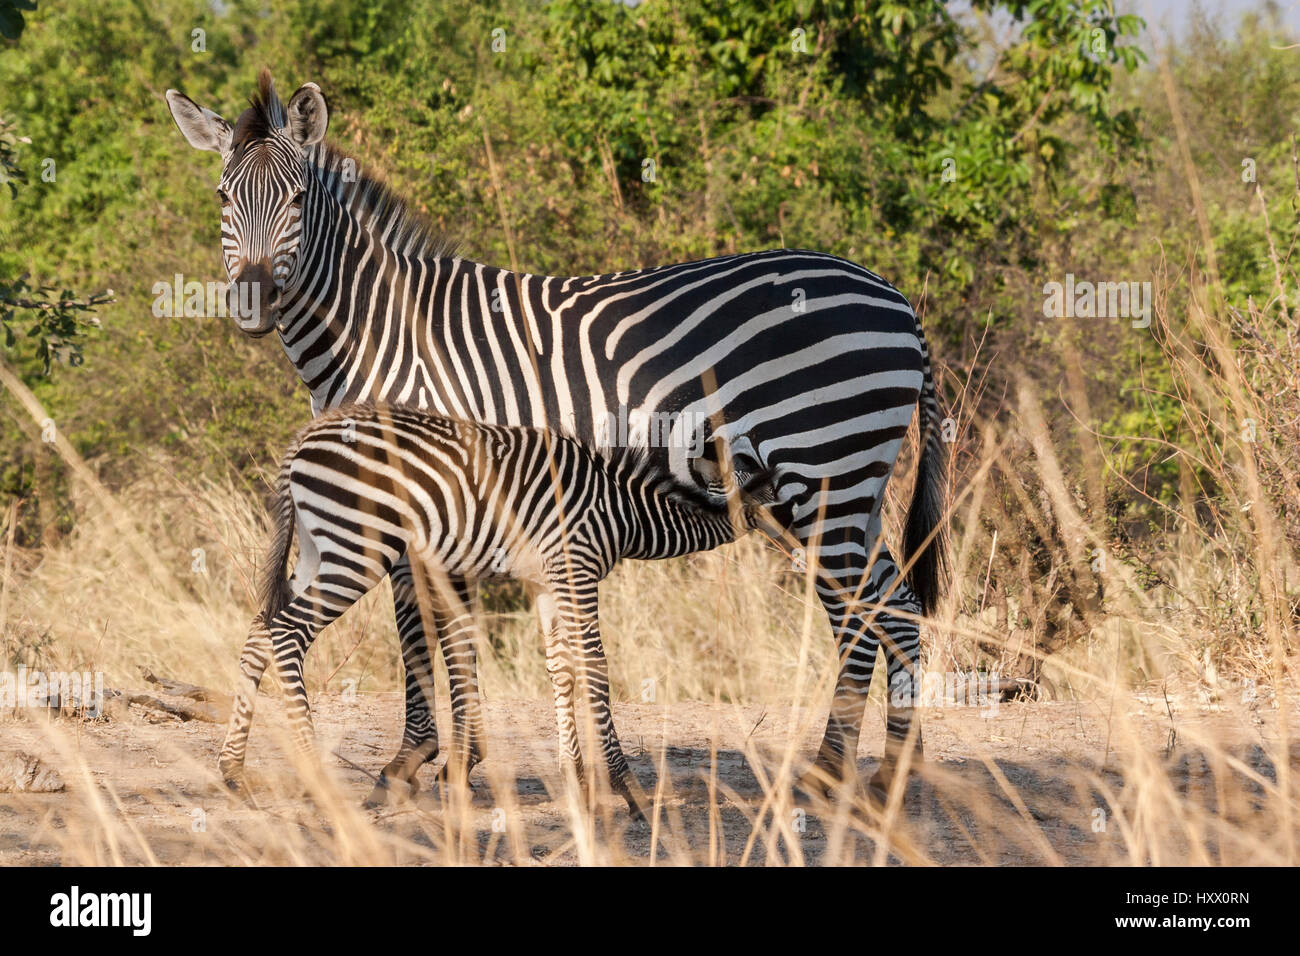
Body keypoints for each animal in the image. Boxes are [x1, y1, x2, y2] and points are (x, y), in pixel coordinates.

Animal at [220, 402, 769, 817]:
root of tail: (303, 440)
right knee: (288, 632)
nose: (788, 552)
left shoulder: (549, 581)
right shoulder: (577, 568)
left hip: (319, 548)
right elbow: (594, 669)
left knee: (260, 629)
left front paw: (577, 783)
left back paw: (232, 771)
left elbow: (561, 669)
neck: (621, 509)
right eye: (772, 502)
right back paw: (315, 777)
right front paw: (626, 789)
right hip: (358, 547)